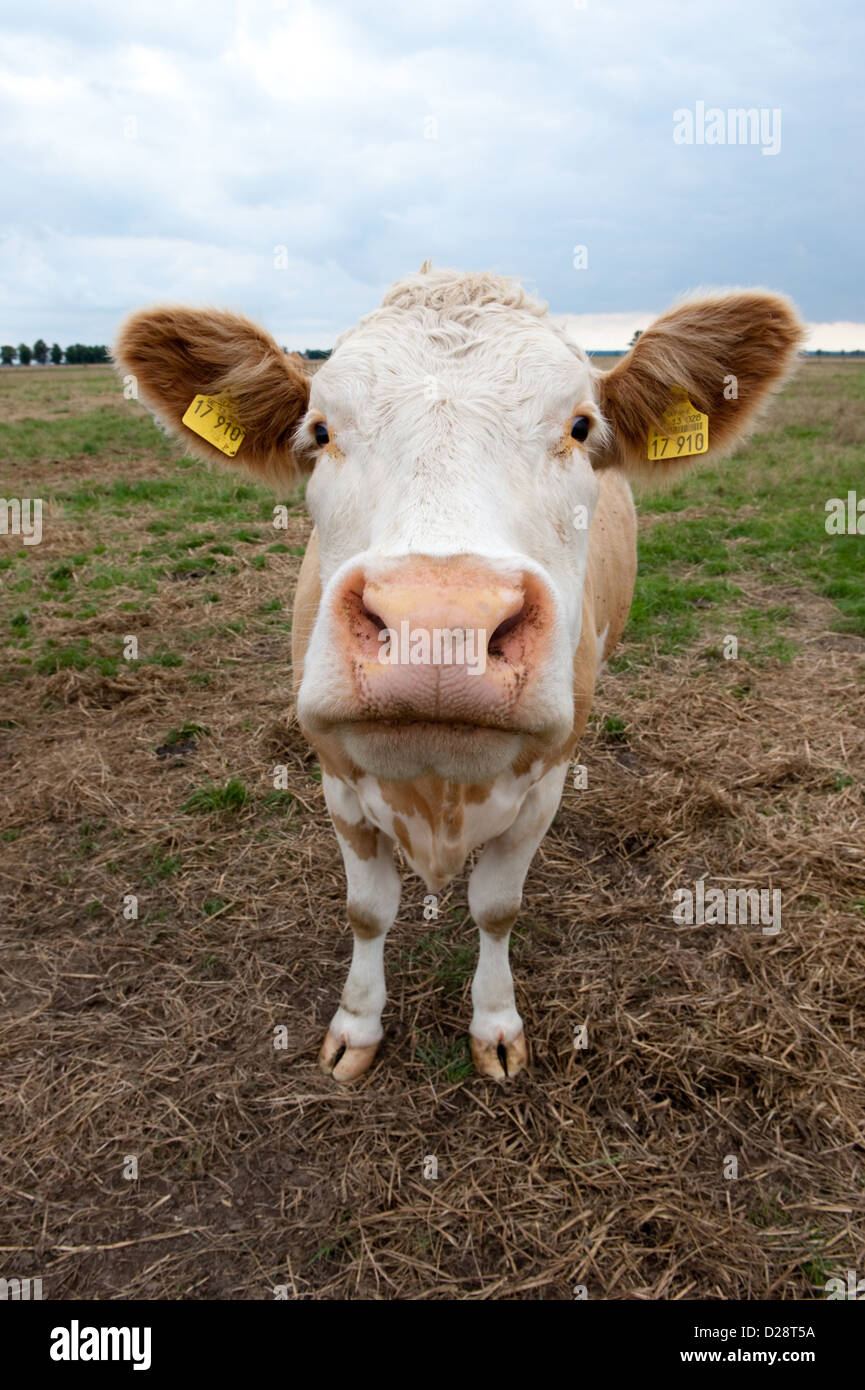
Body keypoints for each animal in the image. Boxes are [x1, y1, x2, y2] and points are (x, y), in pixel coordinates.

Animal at [114, 266, 804, 1081]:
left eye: (580, 428)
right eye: (320, 431)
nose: (438, 628)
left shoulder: (543, 784)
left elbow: (496, 907)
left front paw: (495, 1024)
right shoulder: (336, 779)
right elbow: (367, 911)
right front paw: (357, 1026)